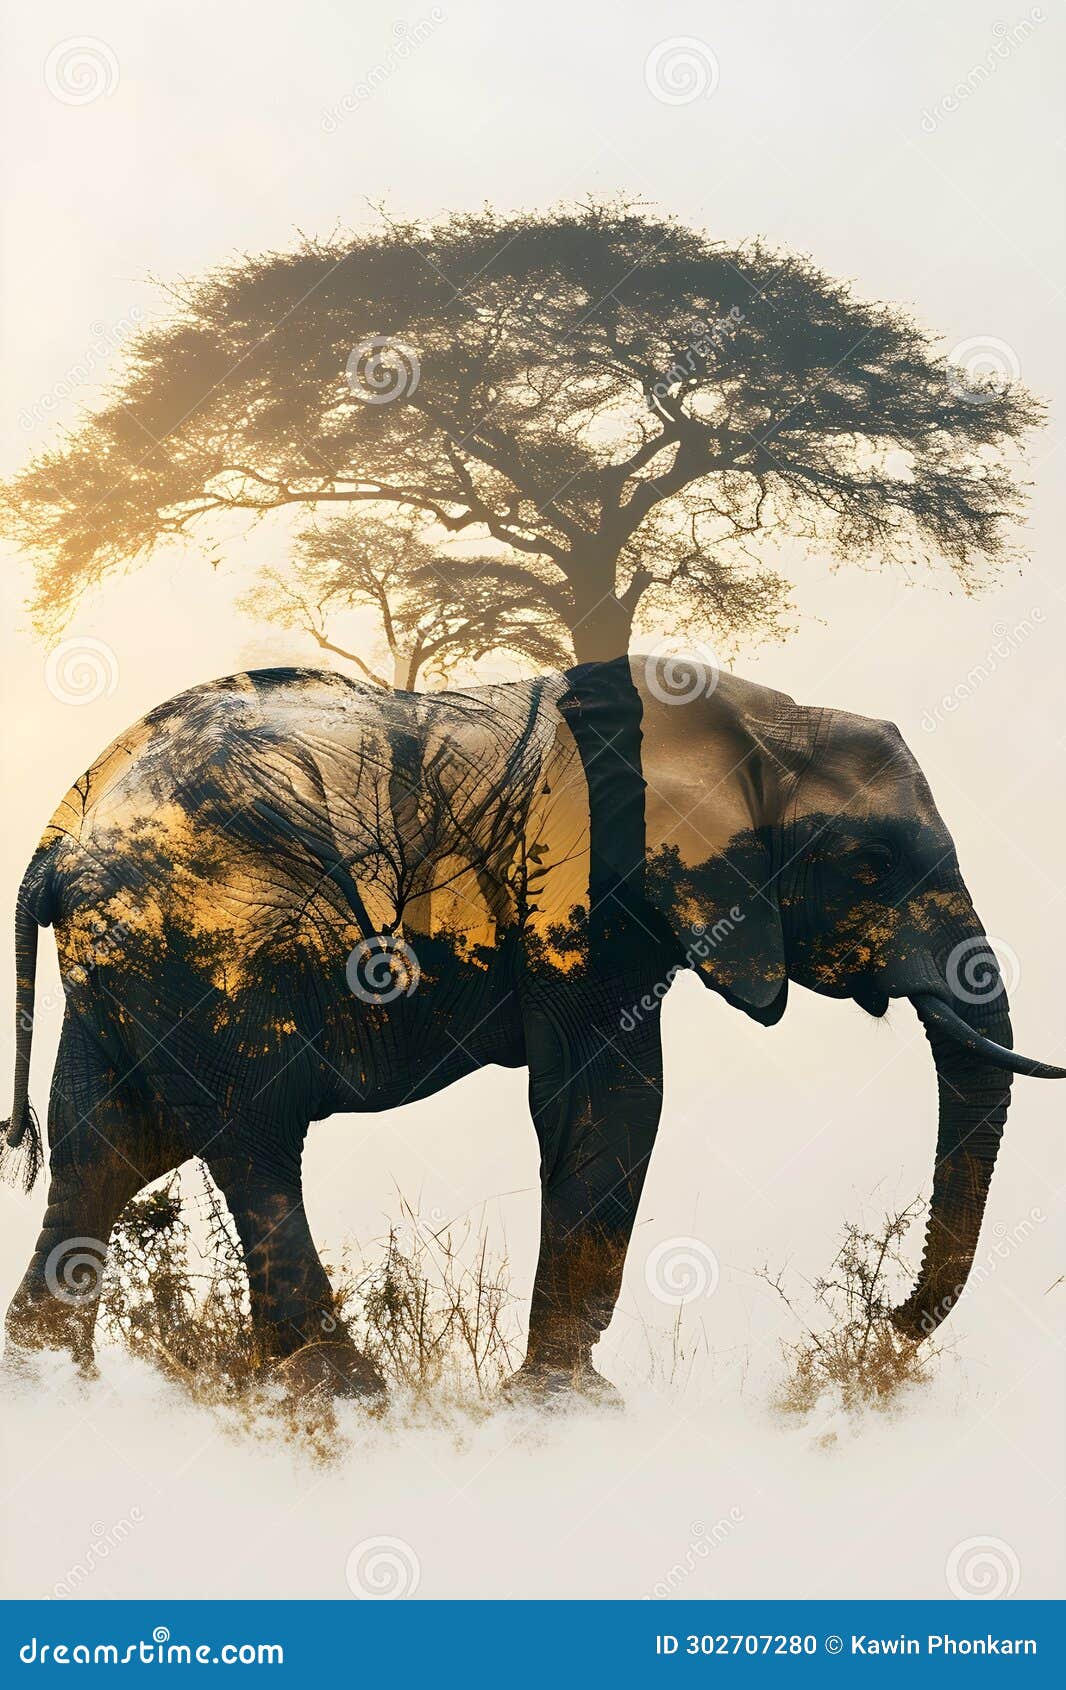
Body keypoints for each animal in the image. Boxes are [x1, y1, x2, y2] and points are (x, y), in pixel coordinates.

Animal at [2, 655, 1061, 1403]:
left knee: (109, 1146)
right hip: (208, 944)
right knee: (252, 1138)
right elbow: (610, 1096)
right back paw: (342, 1395)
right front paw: (565, 1406)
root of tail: (56, 841)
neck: (752, 716)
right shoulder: (583, 886)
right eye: (872, 867)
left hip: (128, 974)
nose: (889, 1322)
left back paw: (54, 1389)